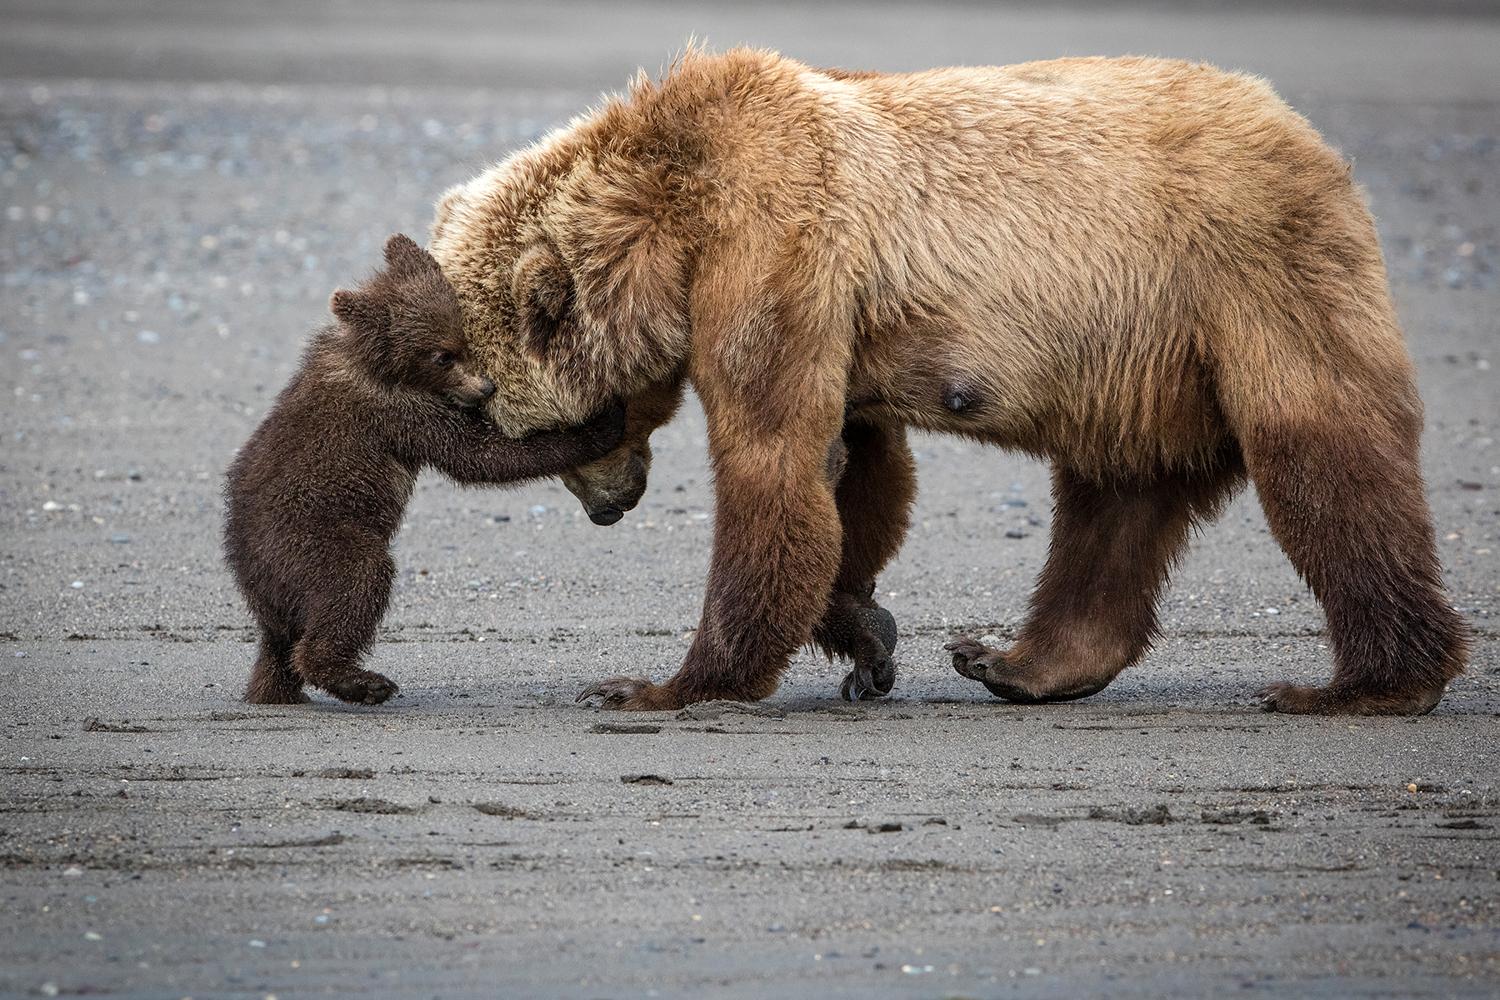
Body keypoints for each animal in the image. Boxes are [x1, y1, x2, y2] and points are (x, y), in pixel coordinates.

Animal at [223, 234, 625, 706]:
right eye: (441, 356)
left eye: (463, 339)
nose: (485, 387)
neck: (376, 363)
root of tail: (251, 577)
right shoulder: (399, 411)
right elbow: (478, 455)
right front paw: (602, 422)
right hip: (310, 540)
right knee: (356, 580)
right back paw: (362, 681)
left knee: (279, 646)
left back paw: (277, 690)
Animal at [427, 48, 1469, 716]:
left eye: (532, 427)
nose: (610, 508)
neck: (669, 216)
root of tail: (1308, 135)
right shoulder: (832, 305)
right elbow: (853, 471)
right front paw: (867, 635)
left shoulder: (775, 245)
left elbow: (773, 460)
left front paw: (659, 684)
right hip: (1138, 361)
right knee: (1116, 500)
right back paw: (1018, 662)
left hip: (1245, 276)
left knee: (1322, 456)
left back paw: (1366, 684)